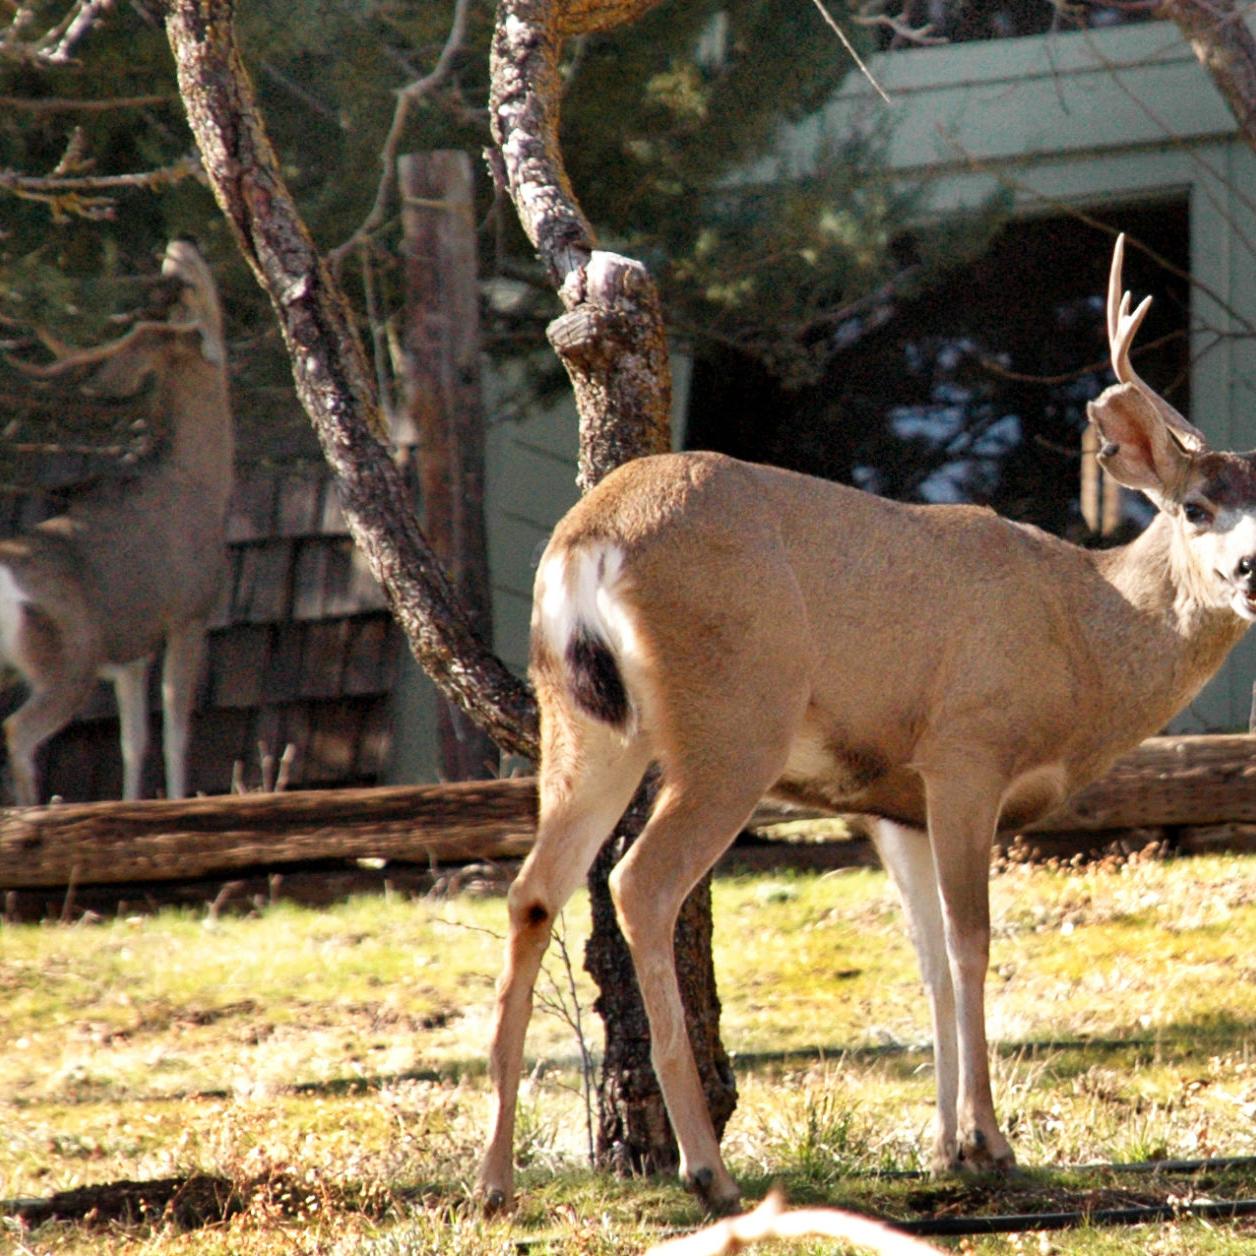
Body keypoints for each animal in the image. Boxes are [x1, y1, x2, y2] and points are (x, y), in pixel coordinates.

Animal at [0, 238, 234, 806]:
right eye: (201, 284)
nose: (180, 243)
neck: (201, 485)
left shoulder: (133, 650)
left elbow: (134, 741)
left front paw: (130, 805)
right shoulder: (188, 613)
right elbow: (175, 733)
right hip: (70, 659)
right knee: (18, 733)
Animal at [476, 235, 1256, 1213]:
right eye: (1196, 508)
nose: (1251, 569)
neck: (1083, 633)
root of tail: (588, 540)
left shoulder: (892, 803)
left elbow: (926, 960)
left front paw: (945, 1146)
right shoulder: (966, 750)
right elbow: (970, 942)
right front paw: (989, 1143)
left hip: (583, 721)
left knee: (532, 890)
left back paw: (495, 1179)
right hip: (734, 719)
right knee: (640, 883)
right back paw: (709, 1170)